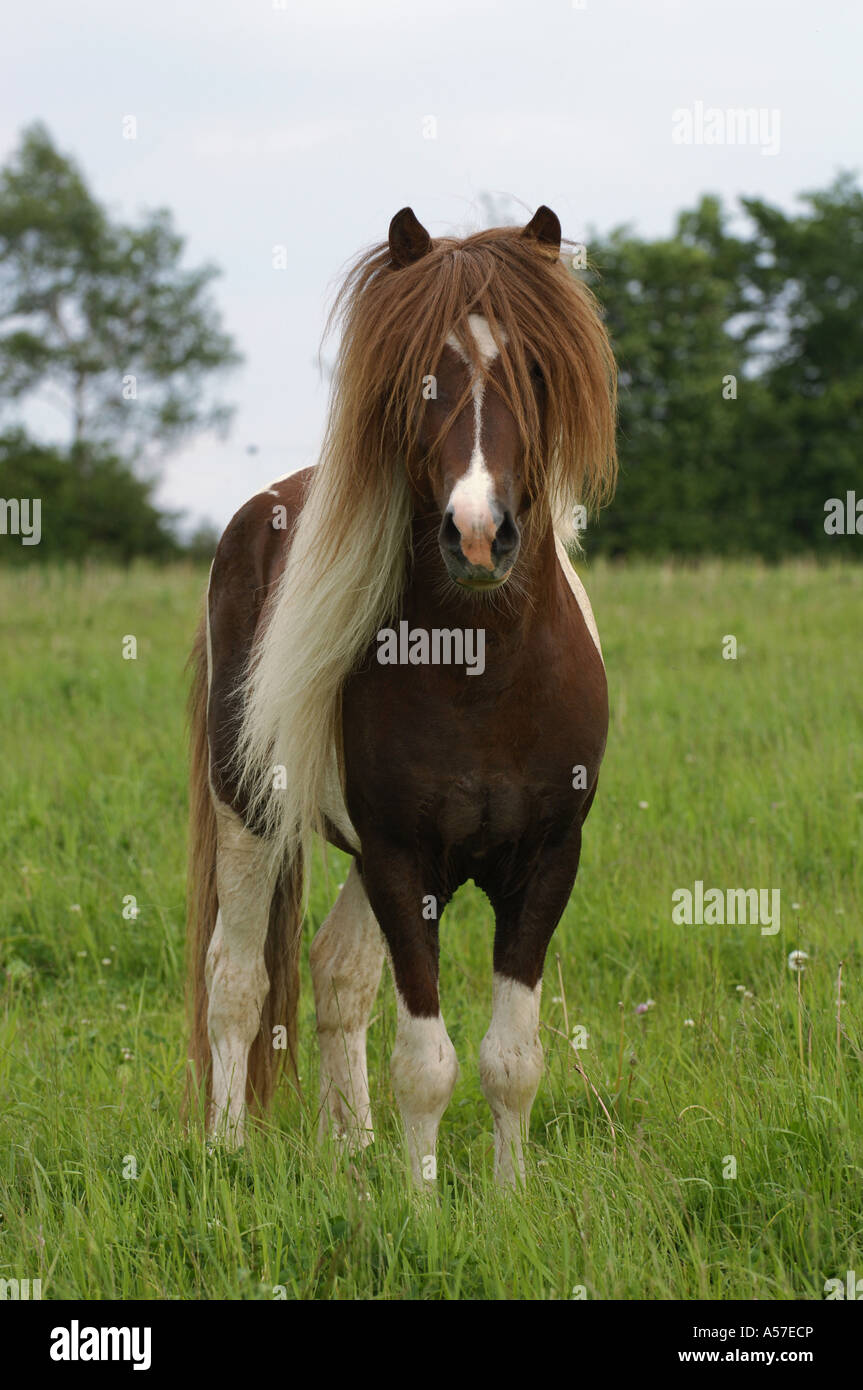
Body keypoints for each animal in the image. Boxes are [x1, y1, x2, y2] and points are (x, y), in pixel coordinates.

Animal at [186, 204, 617, 1187]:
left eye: (537, 371)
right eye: (422, 378)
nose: (478, 533)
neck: (483, 671)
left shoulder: (546, 861)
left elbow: (510, 1058)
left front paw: (506, 1200)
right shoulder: (400, 859)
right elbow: (426, 1062)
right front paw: (422, 1206)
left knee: (337, 973)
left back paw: (350, 1148)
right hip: (249, 809)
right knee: (236, 979)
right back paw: (226, 1152)